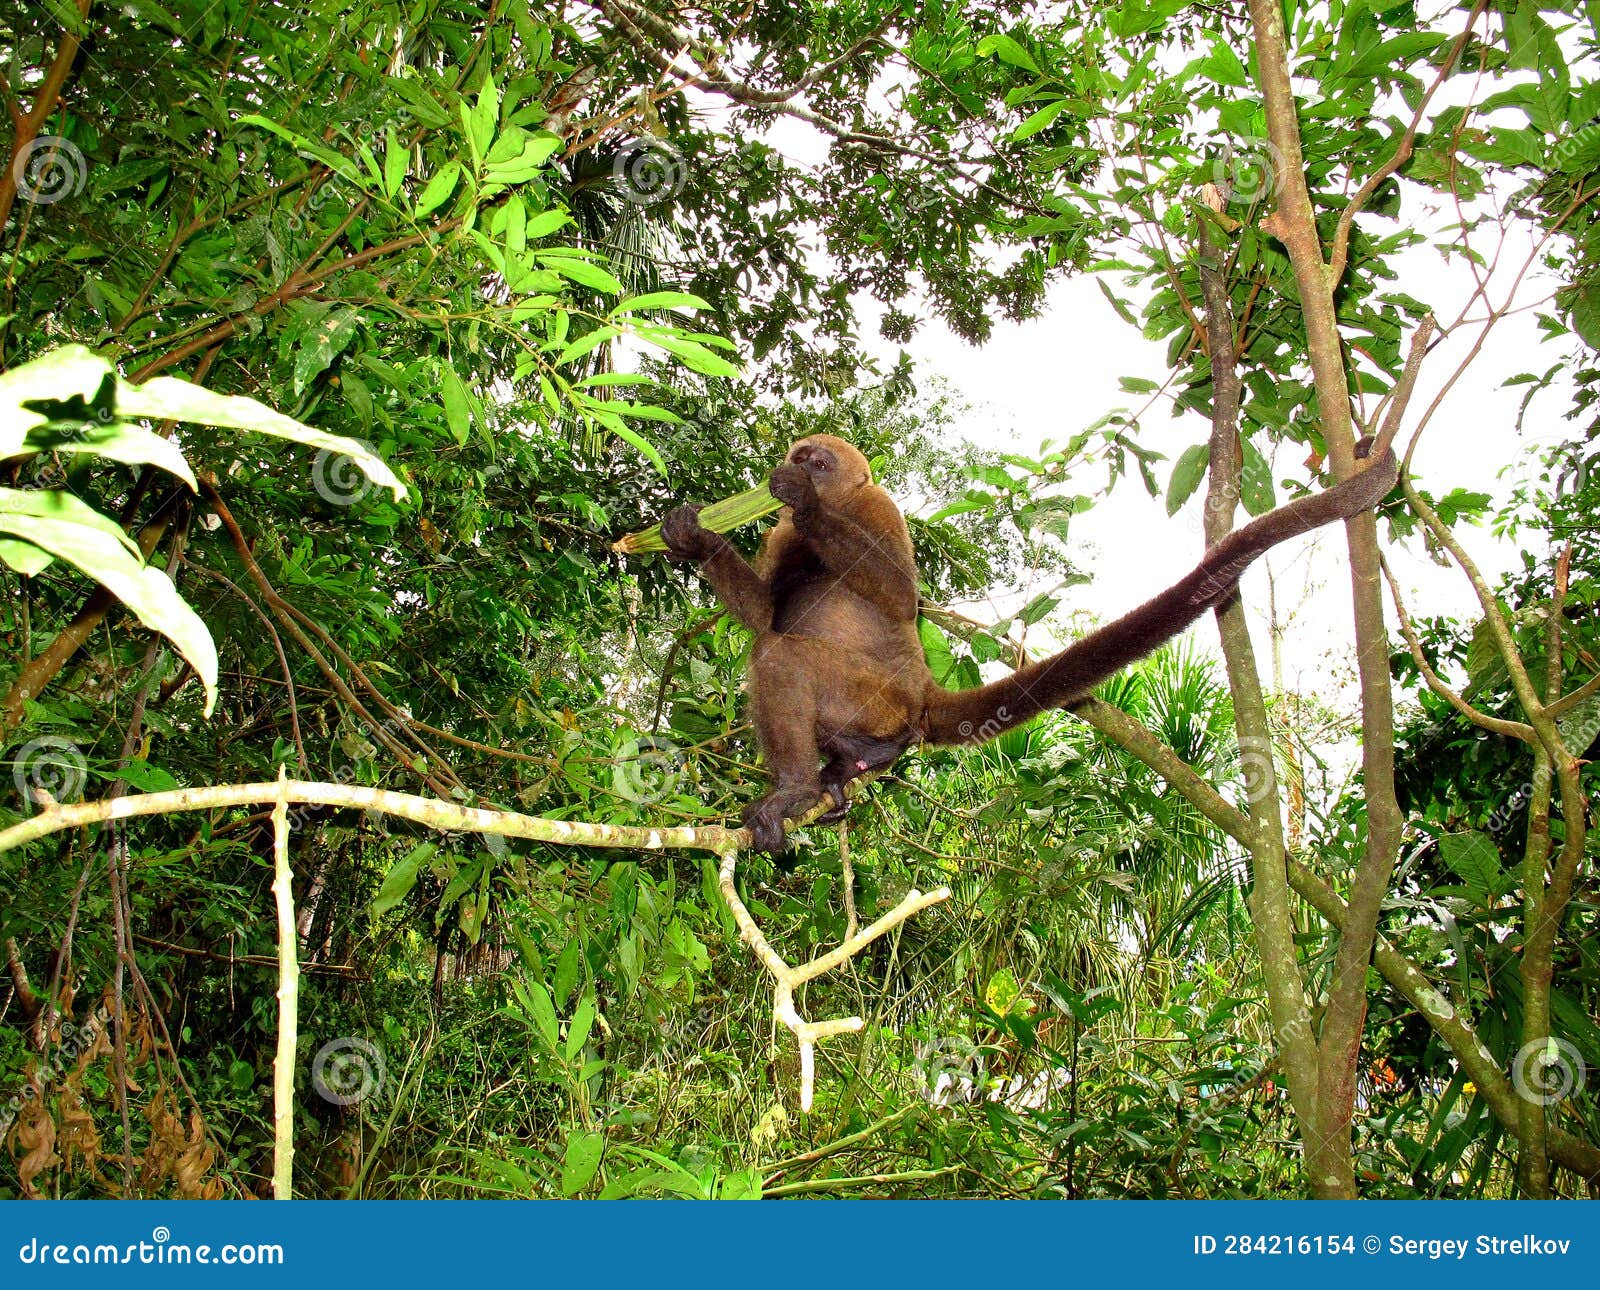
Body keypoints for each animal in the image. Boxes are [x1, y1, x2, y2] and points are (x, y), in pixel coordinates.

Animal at [661, 433, 1398, 856]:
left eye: (816, 463)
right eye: (797, 456)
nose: (795, 473)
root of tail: (920, 691)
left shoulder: (878, 510)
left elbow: (897, 597)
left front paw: (808, 506)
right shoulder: (779, 533)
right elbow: (765, 611)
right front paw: (693, 536)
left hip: (872, 694)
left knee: (781, 656)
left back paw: (798, 785)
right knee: (781, 648)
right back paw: (846, 768)